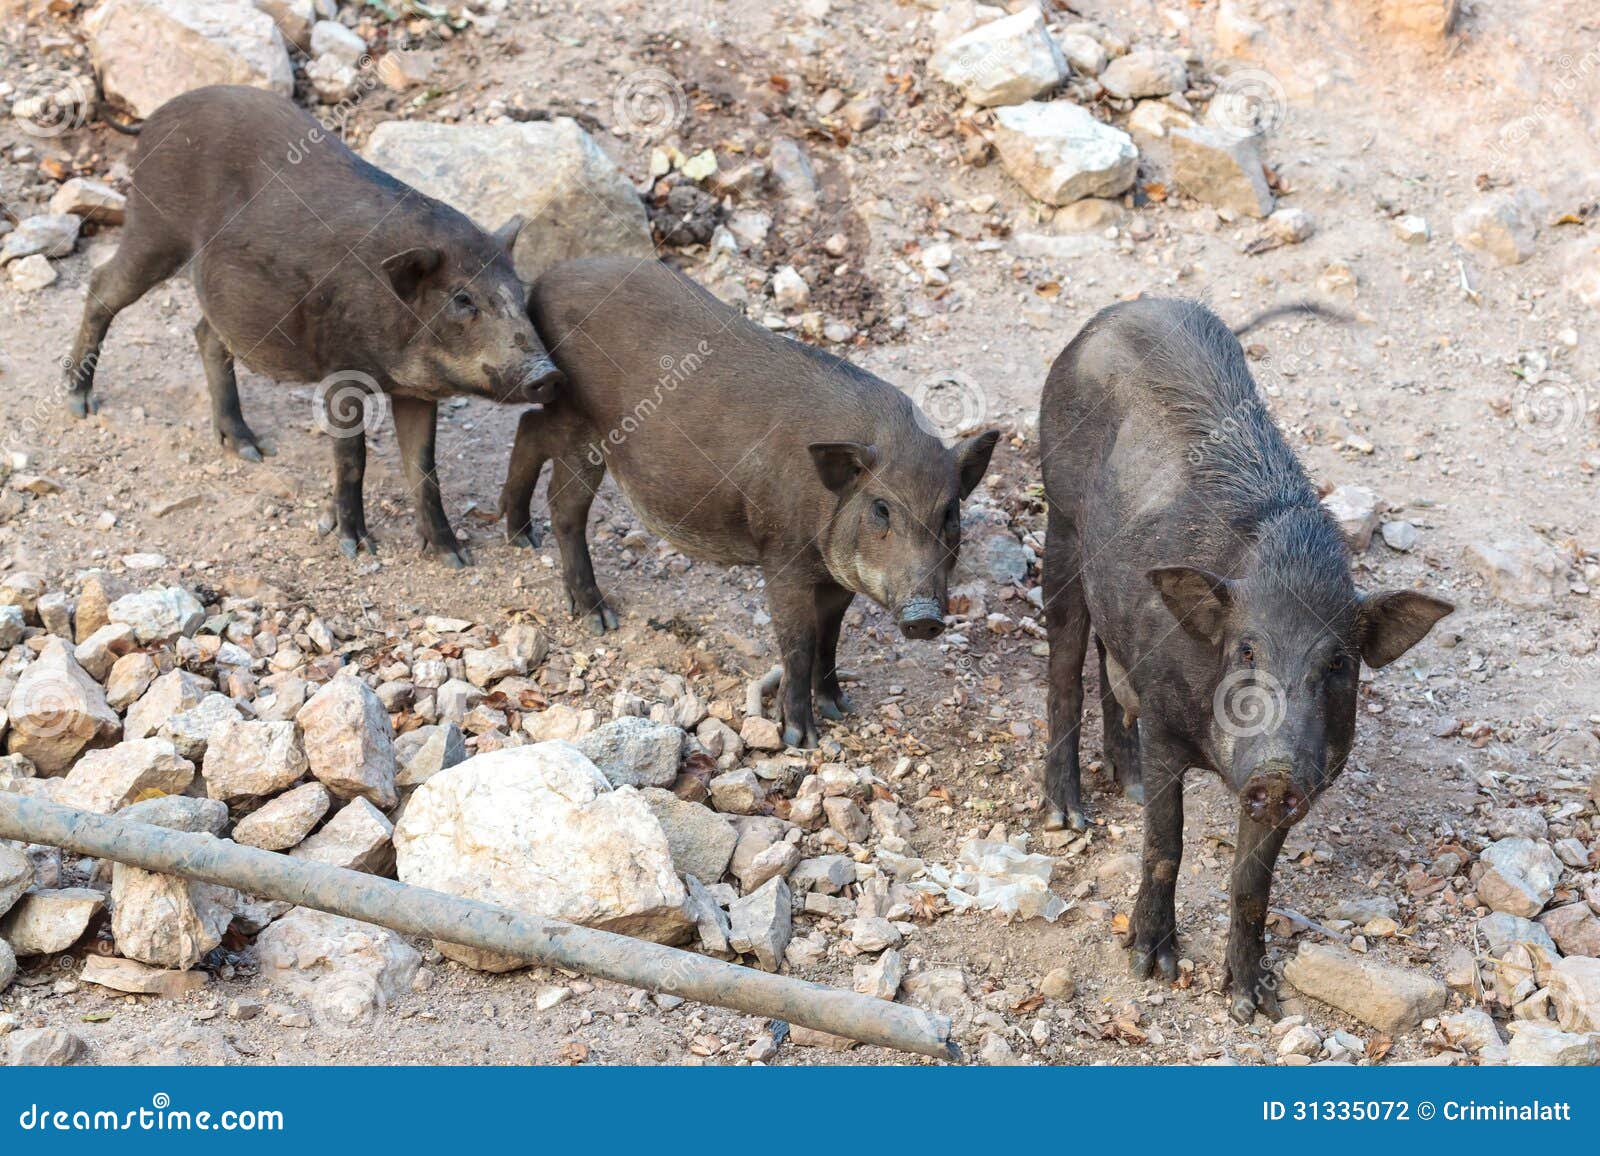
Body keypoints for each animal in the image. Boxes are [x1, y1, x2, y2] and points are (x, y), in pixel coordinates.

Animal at [63, 85, 561, 566]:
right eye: (463, 299)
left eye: (518, 293)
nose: (548, 374)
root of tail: (156, 116)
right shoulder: (341, 371)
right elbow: (354, 458)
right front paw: (358, 548)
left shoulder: (416, 392)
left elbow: (424, 468)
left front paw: (454, 557)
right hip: (153, 230)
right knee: (101, 285)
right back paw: (80, 403)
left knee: (205, 334)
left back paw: (251, 449)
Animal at [501, 258, 999, 748]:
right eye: (881, 507)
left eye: (949, 512)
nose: (925, 617)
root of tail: (545, 279)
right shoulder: (781, 559)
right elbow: (799, 642)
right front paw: (800, 740)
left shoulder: (837, 580)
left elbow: (830, 636)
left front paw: (841, 708)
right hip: (580, 423)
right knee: (564, 503)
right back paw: (598, 616)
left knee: (528, 428)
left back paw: (520, 535)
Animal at [1038, 298, 1452, 1022]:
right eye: (1246, 649)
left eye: (1339, 664)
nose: (1278, 771)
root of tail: (1121, 309)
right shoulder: (1168, 726)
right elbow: (1165, 845)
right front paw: (1152, 966)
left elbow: (1251, 882)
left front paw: (1252, 1003)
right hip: (1059, 515)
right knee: (1065, 662)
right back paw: (1068, 814)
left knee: (1107, 657)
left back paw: (1127, 781)